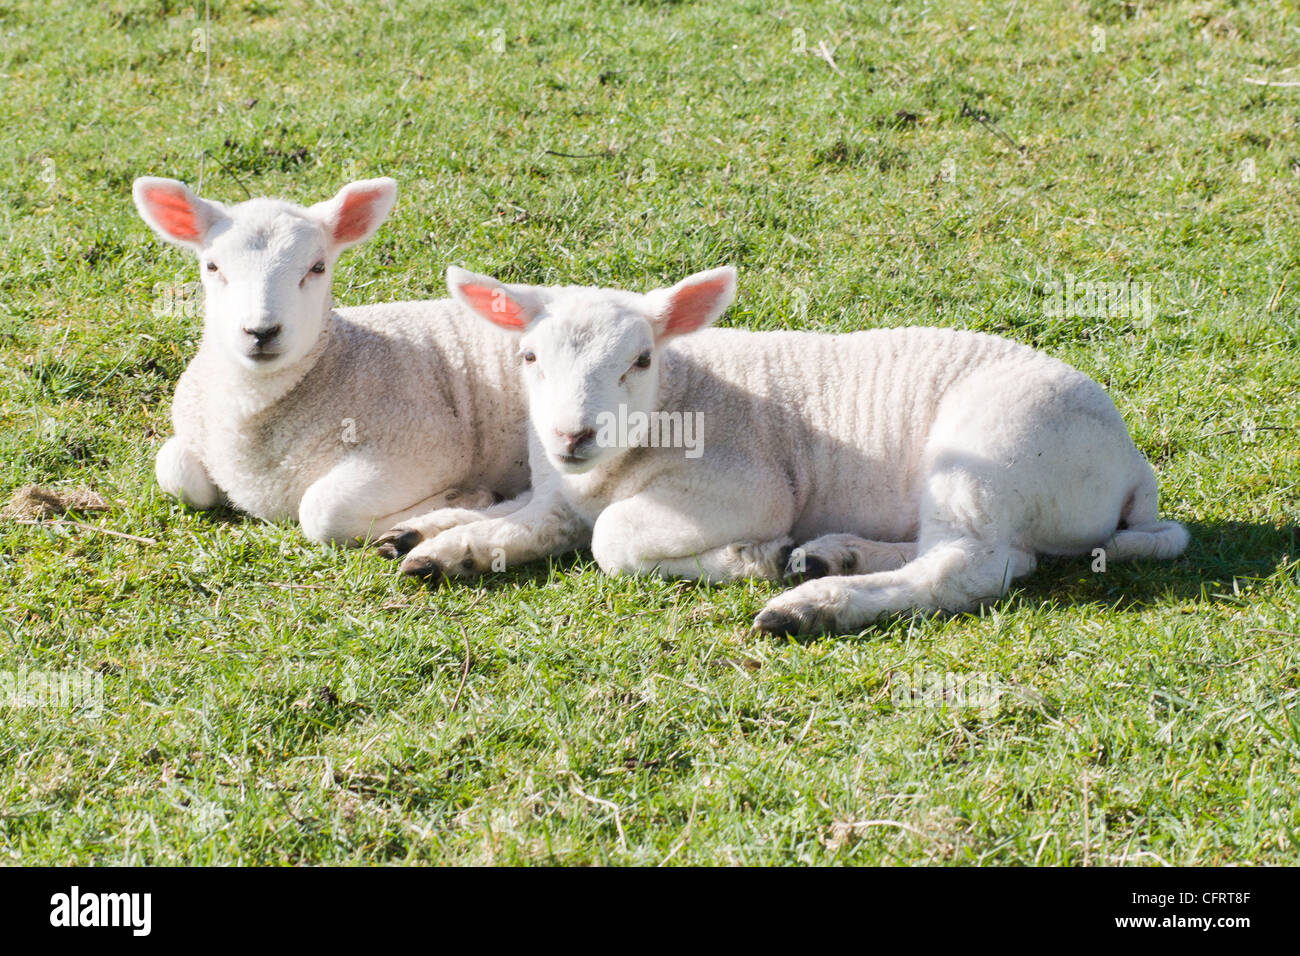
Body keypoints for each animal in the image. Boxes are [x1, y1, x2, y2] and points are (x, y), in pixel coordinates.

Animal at [133, 176, 546, 544]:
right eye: (212, 267)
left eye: (317, 267)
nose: (261, 332)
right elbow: (173, 468)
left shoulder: (428, 449)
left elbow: (322, 510)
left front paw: (460, 497)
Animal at [380, 265, 1188, 636]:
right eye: (528, 358)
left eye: (640, 359)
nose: (572, 435)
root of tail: (1131, 464)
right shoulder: (557, 494)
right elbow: (518, 516)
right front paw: (431, 541)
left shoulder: (745, 486)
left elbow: (613, 540)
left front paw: (749, 558)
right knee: (986, 554)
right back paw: (835, 556)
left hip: (992, 452)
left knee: (971, 569)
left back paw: (810, 603)